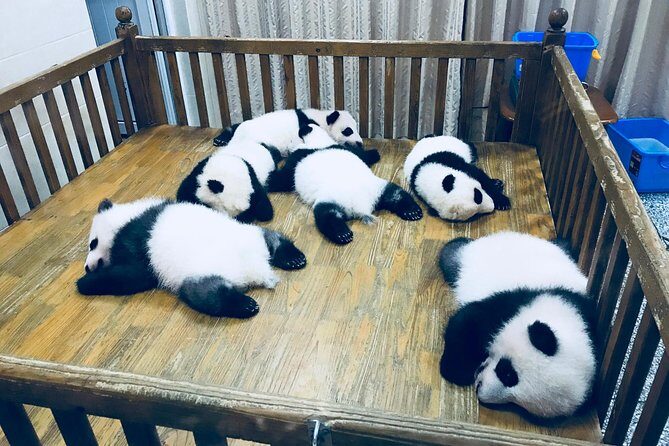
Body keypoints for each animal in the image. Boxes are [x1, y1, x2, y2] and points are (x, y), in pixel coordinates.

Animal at [78, 198, 306, 318]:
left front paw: (85, 282)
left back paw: (244, 305)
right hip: (250, 235)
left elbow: (130, 276)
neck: (125, 218)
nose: (88, 266)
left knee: (207, 296)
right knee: (271, 238)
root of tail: (256, 267)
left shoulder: (137, 243)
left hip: (201, 271)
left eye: (93, 243)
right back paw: (293, 258)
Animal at [267, 125, 422, 244]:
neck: (319, 143)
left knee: (326, 215)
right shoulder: (346, 149)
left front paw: (269, 178)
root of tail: (360, 206)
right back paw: (412, 211)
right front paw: (375, 153)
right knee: (395, 193)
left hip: (331, 197)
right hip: (376, 187)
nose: (286, 148)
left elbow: (283, 178)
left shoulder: (297, 158)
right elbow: (363, 155)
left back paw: (342, 234)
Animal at [437, 231, 597, 419]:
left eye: (516, 403)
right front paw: (455, 370)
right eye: (507, 372)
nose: (479, 388)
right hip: (467, 260)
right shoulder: (514, 304)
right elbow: (467, 321)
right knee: (451, 254)